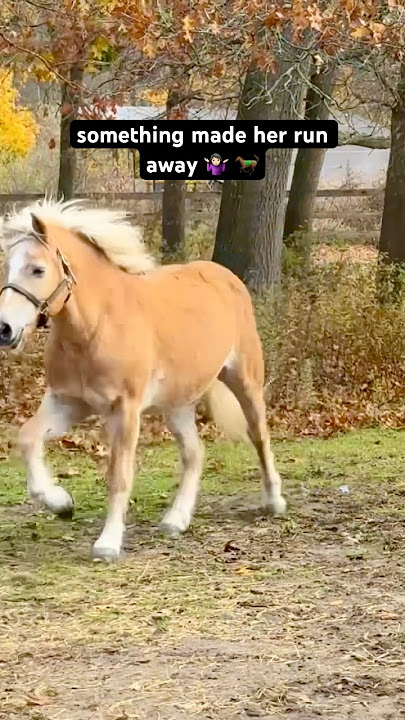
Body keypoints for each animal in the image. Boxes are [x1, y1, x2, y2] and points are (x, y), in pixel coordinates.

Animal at [0, 199, 286, 562]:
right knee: (195, 453)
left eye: (37, 269)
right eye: (7, 266)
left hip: (245, 380)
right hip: (177, 403)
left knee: (258, 434)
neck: (98, 326)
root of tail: (224, 276)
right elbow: (27, 437)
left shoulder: (125, 410)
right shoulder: (68, 402)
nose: (4, 329)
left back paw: (273, 501)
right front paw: (62, 503)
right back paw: (176, 520)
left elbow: (119, 475)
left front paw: (107, 544)